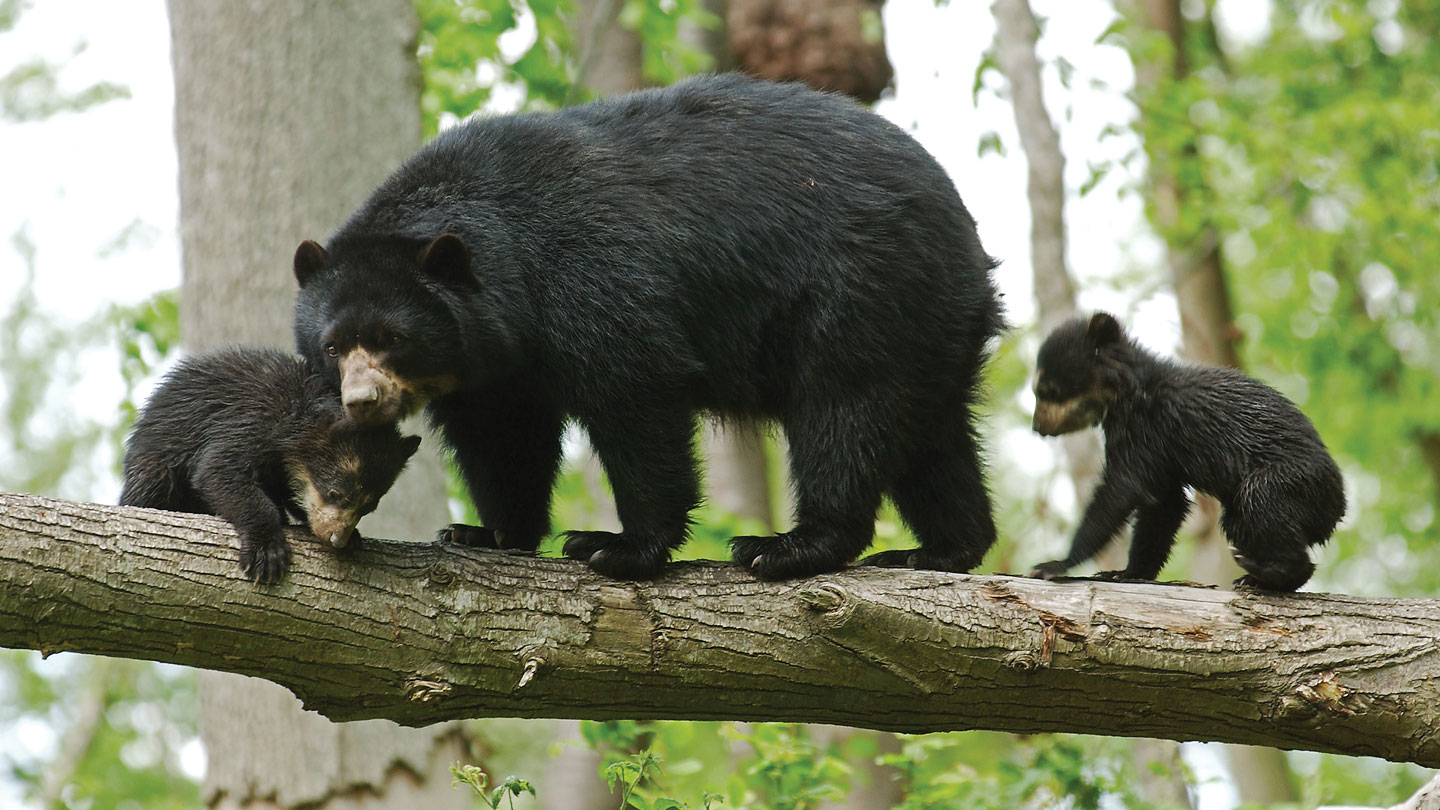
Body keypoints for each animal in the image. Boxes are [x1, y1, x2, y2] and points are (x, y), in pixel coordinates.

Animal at [120, 346, 422, 584]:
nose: (337, 539)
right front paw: (266, 552)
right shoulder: (251, 419)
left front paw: (354, 536)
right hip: (152, 465)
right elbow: (219, 471)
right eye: (334, 492)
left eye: (369, 507)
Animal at [291, 73, 1005, 581]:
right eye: (333, 346)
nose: (362, 402)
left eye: (392, 339)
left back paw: (789, 546)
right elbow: (503, 436)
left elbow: (635, 395)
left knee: (844, 408)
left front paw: (616, 547)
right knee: (931, 434)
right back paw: (942, 549)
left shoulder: (589, 274)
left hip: (863, 290)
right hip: (928, 321)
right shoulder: (491, 365)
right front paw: (485, 533)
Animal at [1027, 312, 1346, 591]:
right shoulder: (1159, 453)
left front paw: (1053, 565)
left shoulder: (1146, 430)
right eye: (1039, 392)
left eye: (1048, 391)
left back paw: (1261, 568)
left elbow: (1121, 490)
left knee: (1261, 500)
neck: (1125, 393)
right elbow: (1164, 504)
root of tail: (1338, 506)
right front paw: (1125, 573)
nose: (1037, 427)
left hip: (1290, 480)